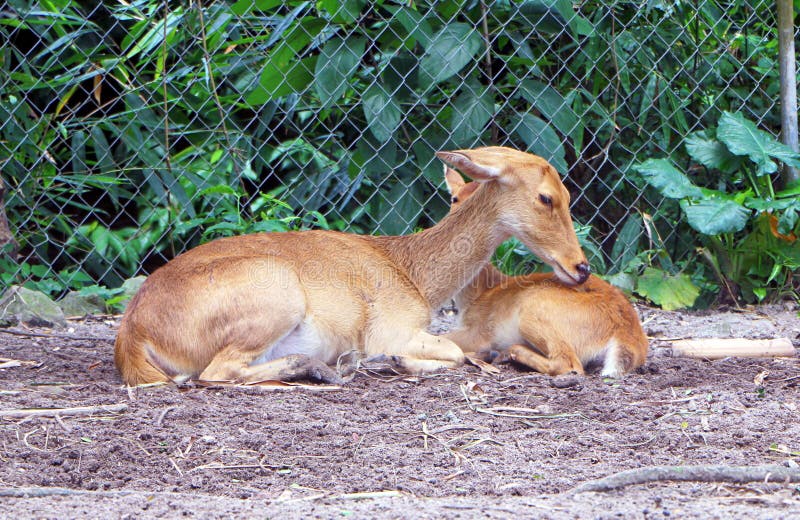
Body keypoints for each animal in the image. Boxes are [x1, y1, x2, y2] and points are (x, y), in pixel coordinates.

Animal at [114, 147, 591, 386]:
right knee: (214, 373)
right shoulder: (389, 327)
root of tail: (133, 335)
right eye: (547, 197)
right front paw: (390, 362)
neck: (416, 277)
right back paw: (319, 368)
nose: (581, 267)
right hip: (276, 295)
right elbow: (454, 353)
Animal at [442, 169, 648, 378]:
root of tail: (627, 335)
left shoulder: (480, 331)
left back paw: (504, 354)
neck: (476, 295)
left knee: (569, 363)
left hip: (534, 310)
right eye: (454, 198)